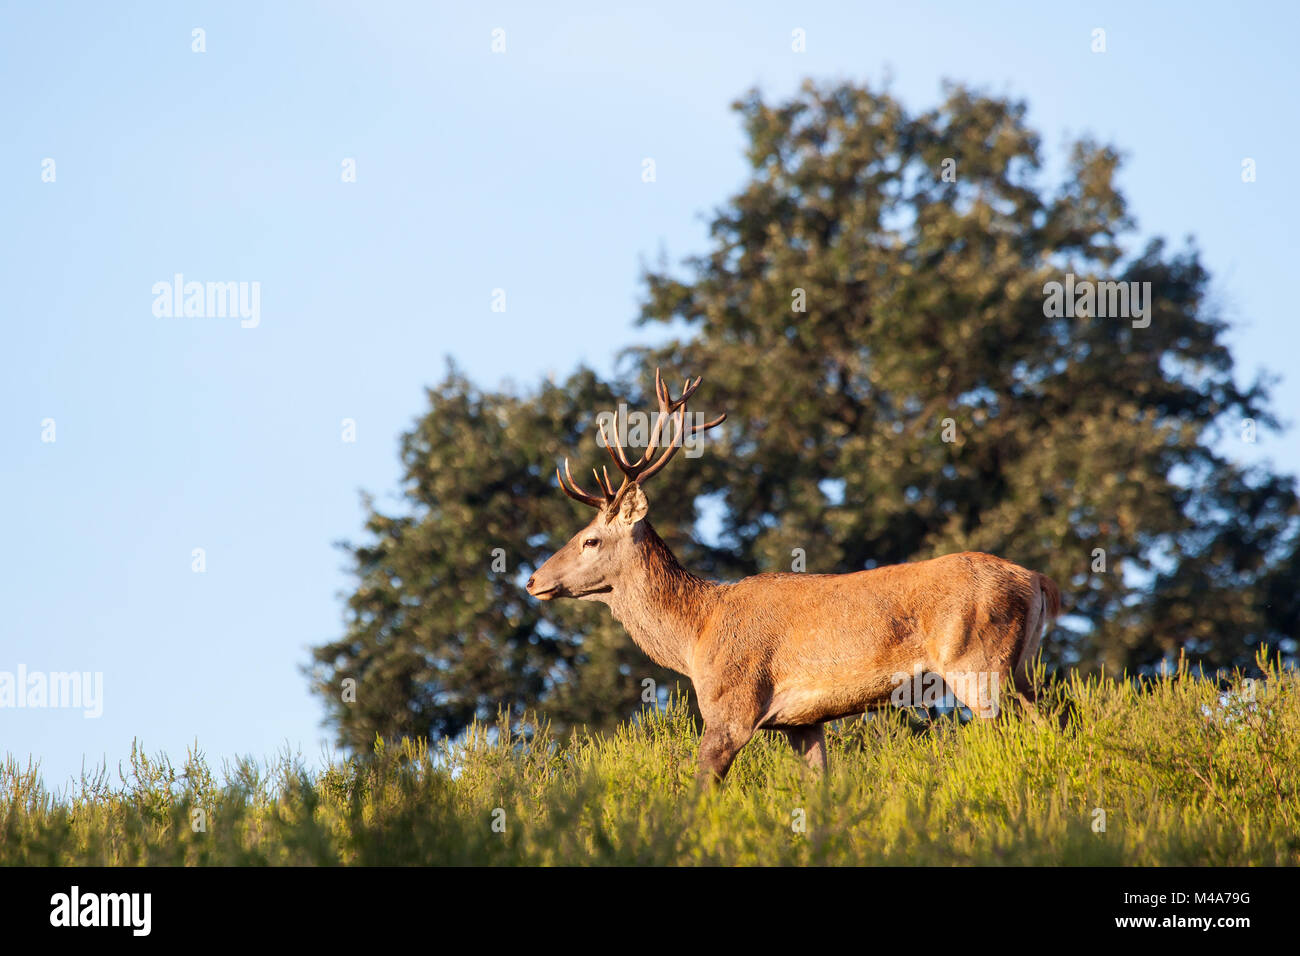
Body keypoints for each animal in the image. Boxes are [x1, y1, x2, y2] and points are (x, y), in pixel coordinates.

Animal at [525, 369, 1062, 783]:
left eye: (590, 539)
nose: (532, 580)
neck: (695, 633)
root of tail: (1037, 580)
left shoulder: (732, 706)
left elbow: (701, 789)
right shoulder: (801, 722)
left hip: (977, 661)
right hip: (1018, 667)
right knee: (1050, 724)